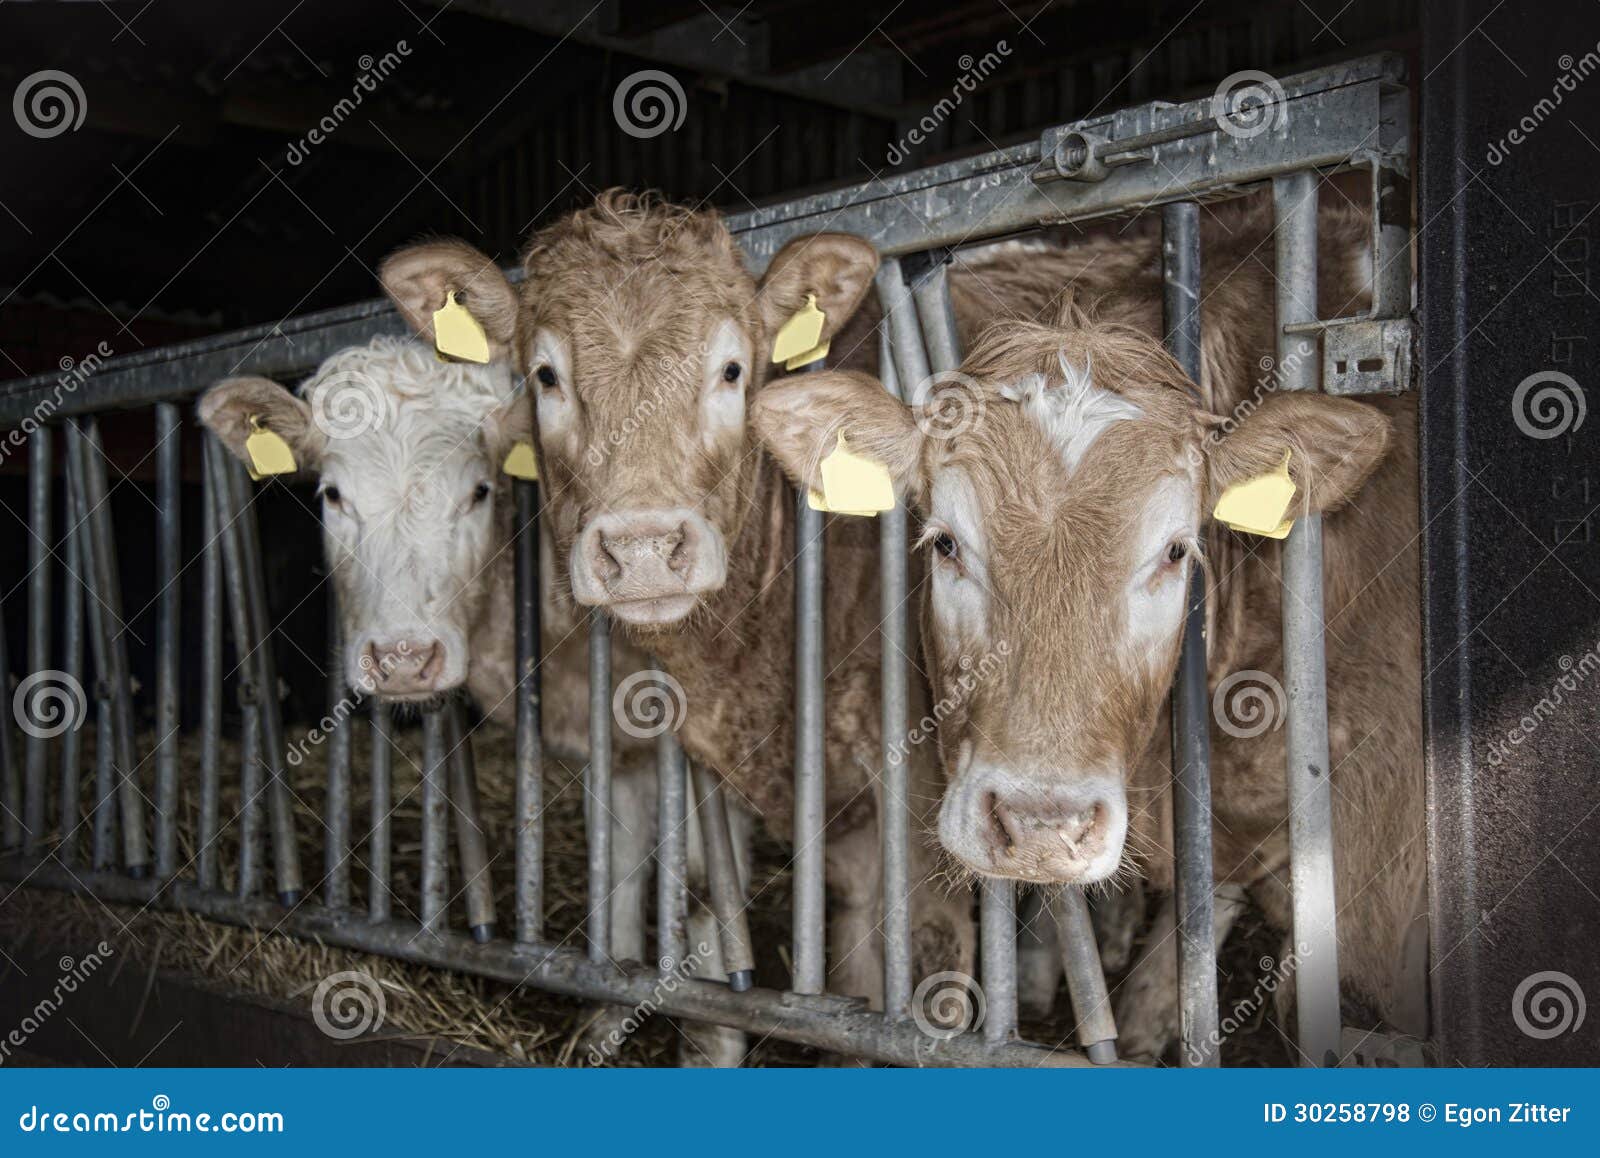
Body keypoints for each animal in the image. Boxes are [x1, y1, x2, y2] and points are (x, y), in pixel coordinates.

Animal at [198, 335, 755, 1065]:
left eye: (481, 490)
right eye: (333, 493)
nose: (404, 658)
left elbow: (707, 877)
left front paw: (713, 1035)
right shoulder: (615, 742)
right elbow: (618, 864)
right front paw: (610, 1010)